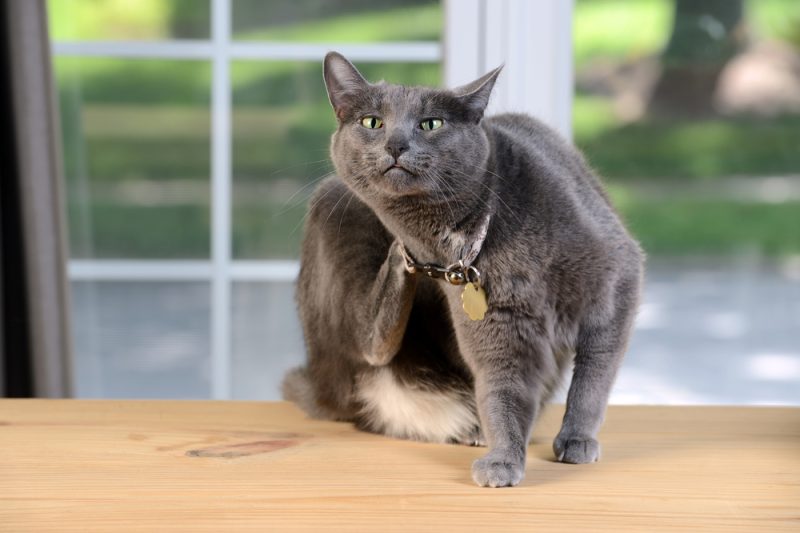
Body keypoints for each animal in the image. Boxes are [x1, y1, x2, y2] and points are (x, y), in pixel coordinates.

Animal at [282, 53, 644, 486]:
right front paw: (503, 459)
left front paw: (576, 439)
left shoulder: (616, 275)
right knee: (371, 345)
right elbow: (502, 390)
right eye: (372, 122)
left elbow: (593, 373)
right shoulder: (495, 326)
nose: (396, 144)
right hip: (333, 204)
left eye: (431, 123)